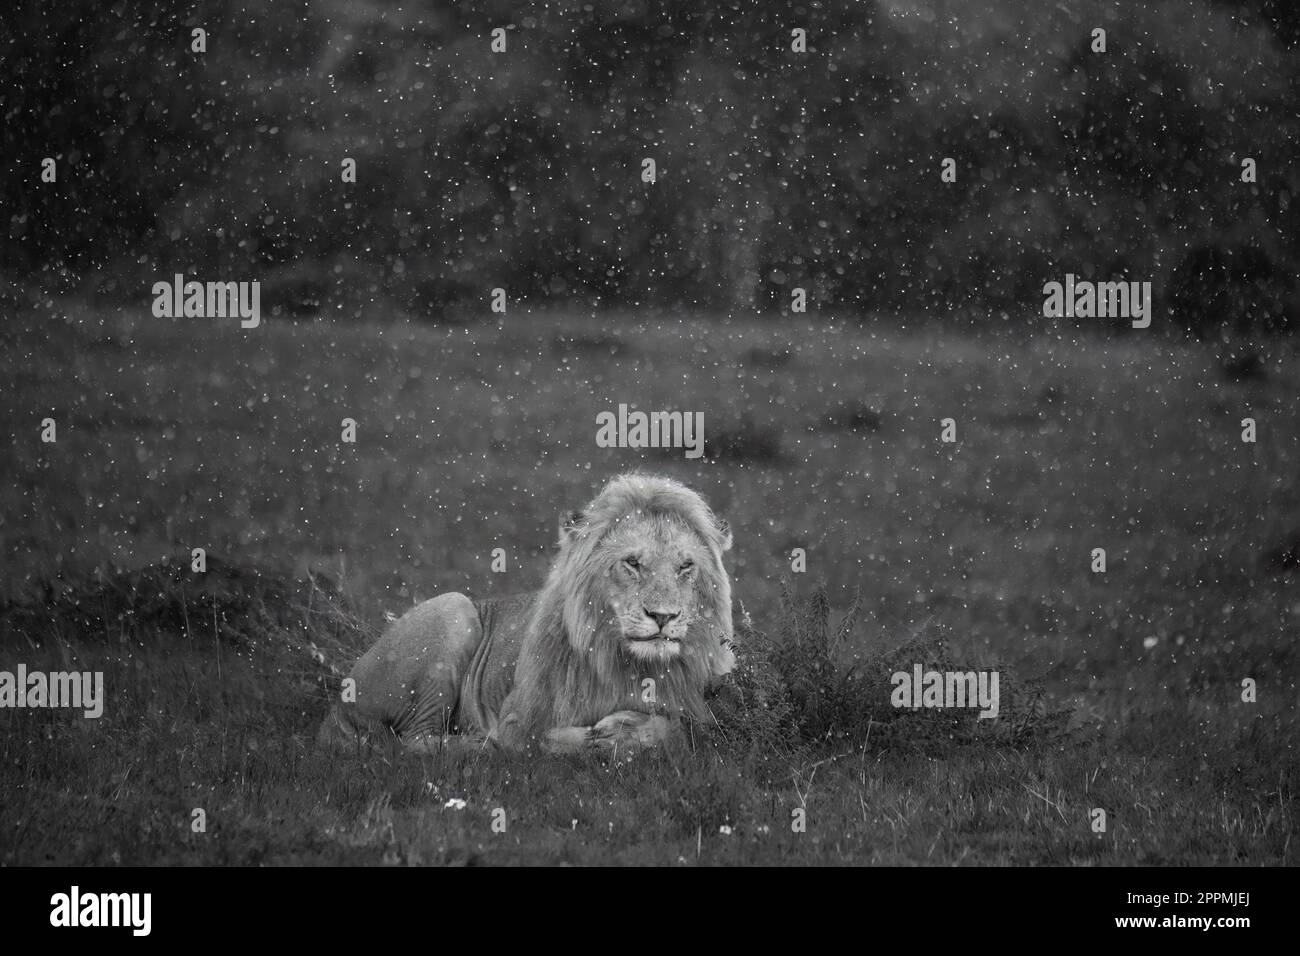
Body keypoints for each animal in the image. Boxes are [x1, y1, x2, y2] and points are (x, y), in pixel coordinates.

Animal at [318, 473, 736, 755]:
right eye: (632, 563)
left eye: (685, 566)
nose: (663, 616)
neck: (631, 663)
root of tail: (333, 713)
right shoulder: (519, 716)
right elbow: (537, 740)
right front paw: (594, 737)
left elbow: (676, 730)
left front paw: (626, 733)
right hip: (454, 609)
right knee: (417, 740)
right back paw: (480, 744)